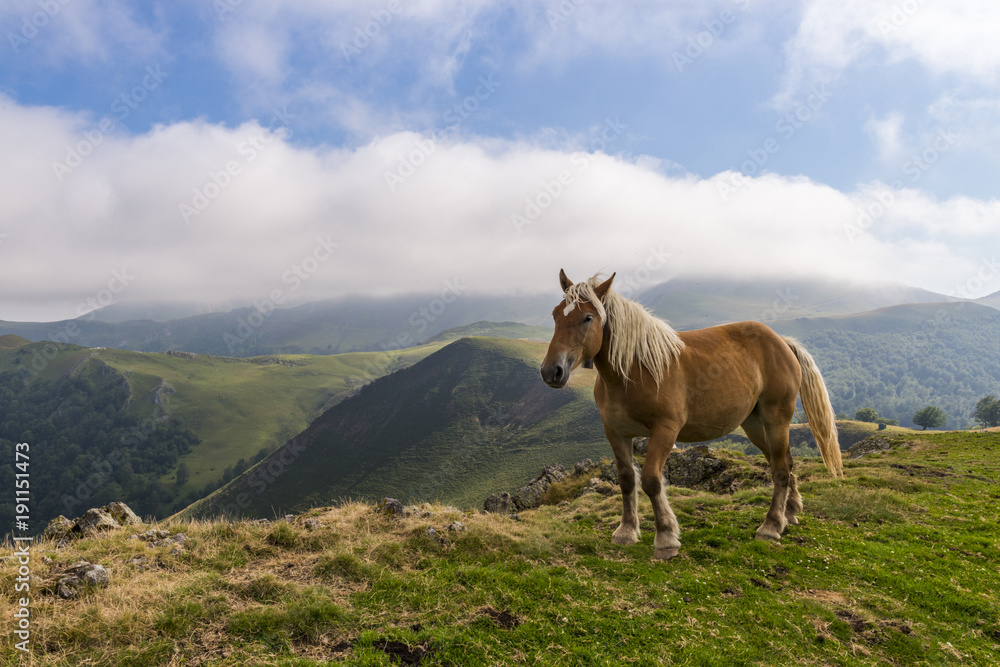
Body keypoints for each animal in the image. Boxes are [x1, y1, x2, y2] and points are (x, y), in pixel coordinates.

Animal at [540, 270, 842, 559]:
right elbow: (627, 479)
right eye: (555, 314)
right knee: (785, 463)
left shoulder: (665, 430)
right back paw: (789, 513)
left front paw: (666, 538)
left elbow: (651, 480)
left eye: (588, 317)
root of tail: (782, 341)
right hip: (755, 425)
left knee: (780, 469)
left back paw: (770, 526)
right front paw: (626, 531)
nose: (551, 371)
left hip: (776, 419)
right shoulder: (615, 432)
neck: (635, 370)